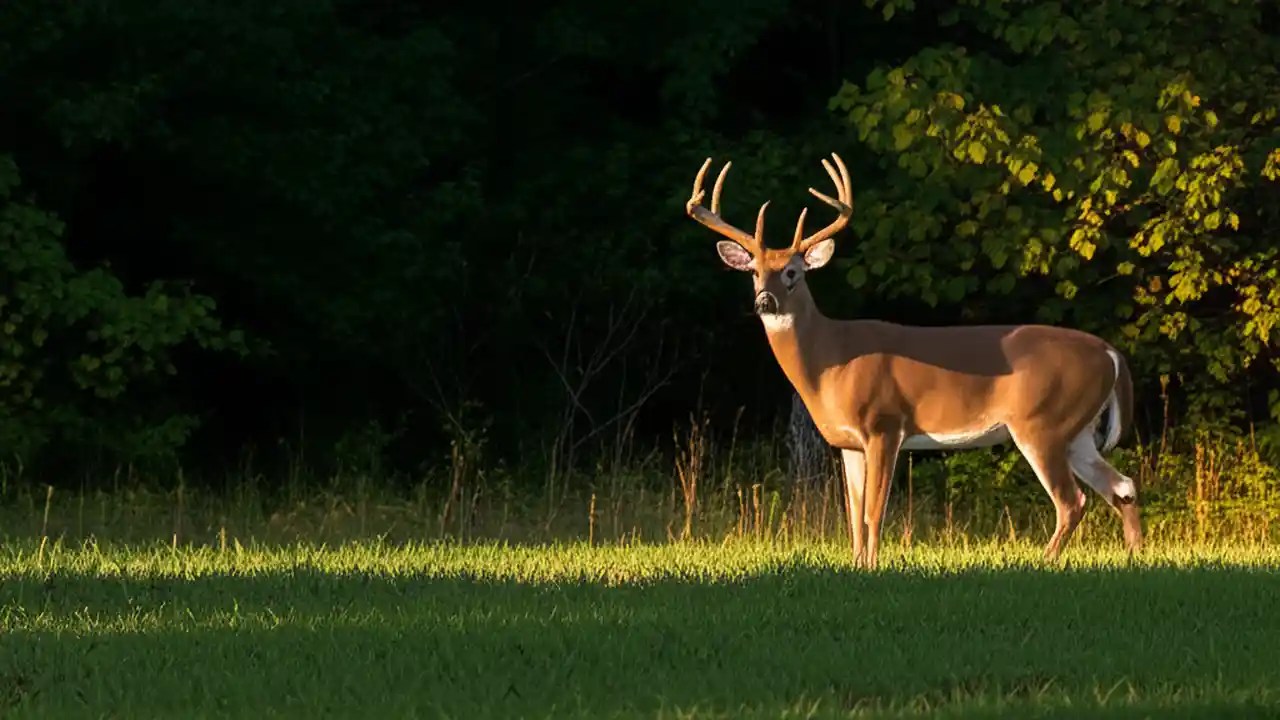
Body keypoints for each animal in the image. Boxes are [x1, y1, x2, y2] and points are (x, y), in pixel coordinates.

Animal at [684, 152, 1142, 568]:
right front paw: (855, 565)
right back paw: (1135, 557)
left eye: (793, 272)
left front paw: (872, 567)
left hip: (1041, 421)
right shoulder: (848, 442)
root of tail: (1111, 353)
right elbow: (853, 516)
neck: (830, 361)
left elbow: (873, 512)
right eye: (754, 271)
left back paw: (1044, 560)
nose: (765, 300)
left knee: (1072, 500)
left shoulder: (885, 424)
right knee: (1121, 486)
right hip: (1076, 429)